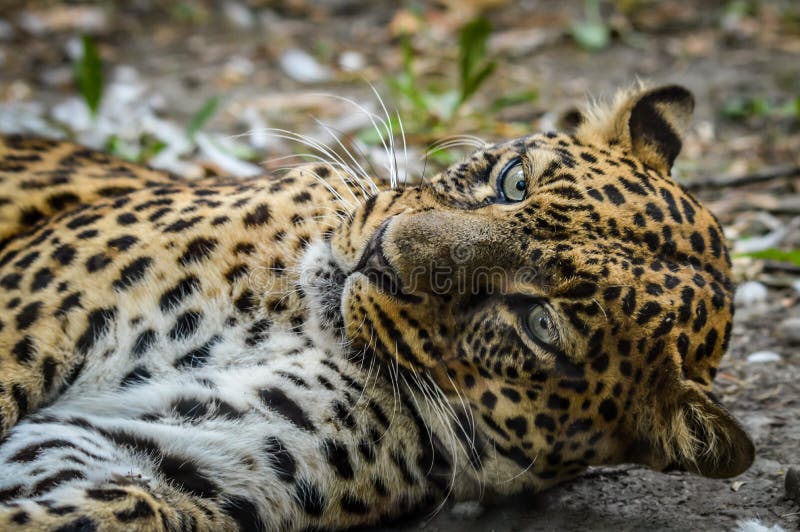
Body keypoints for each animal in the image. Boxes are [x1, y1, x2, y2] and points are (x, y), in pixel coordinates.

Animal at [0, 84, 754, 531]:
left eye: (540, 323)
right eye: (513, 182)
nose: (379, 253)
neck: (300, 323)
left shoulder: (148, 454)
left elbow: (124, 501)